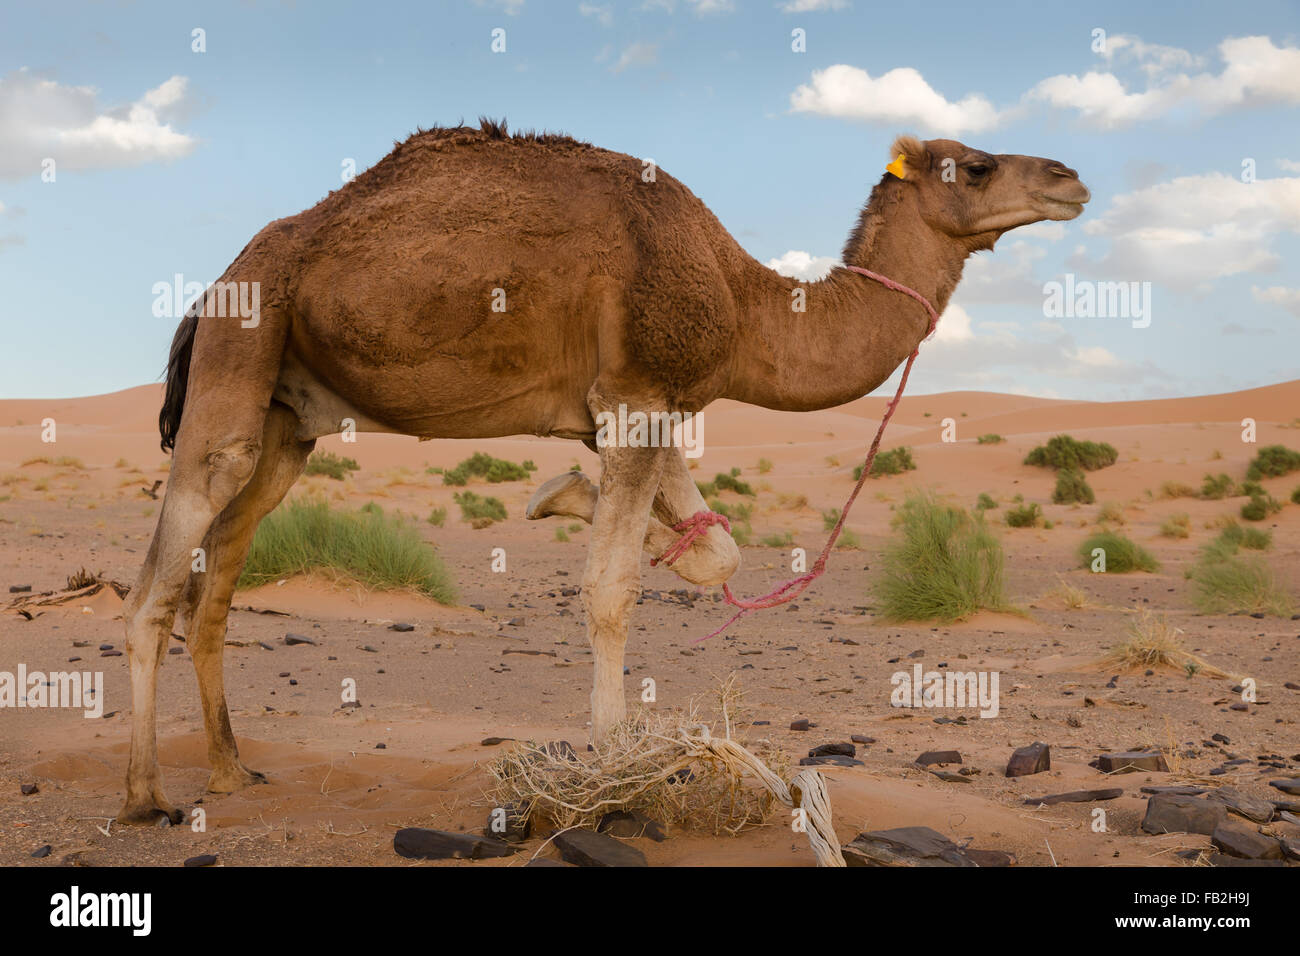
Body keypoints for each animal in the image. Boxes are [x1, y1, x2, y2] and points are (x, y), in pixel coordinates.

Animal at [118, 119, 1089, 824]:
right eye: (976, 166)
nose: (1070, 178)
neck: (745, 303)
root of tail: (212, 289)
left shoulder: (643, 407)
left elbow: (718, 551)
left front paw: (561, 497)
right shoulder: (637, 393)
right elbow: (612, 589)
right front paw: (620, 766)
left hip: (289, 417)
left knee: (220, 577)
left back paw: (231, 770)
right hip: (245, 342)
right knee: (160, 578)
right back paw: (144, 794)